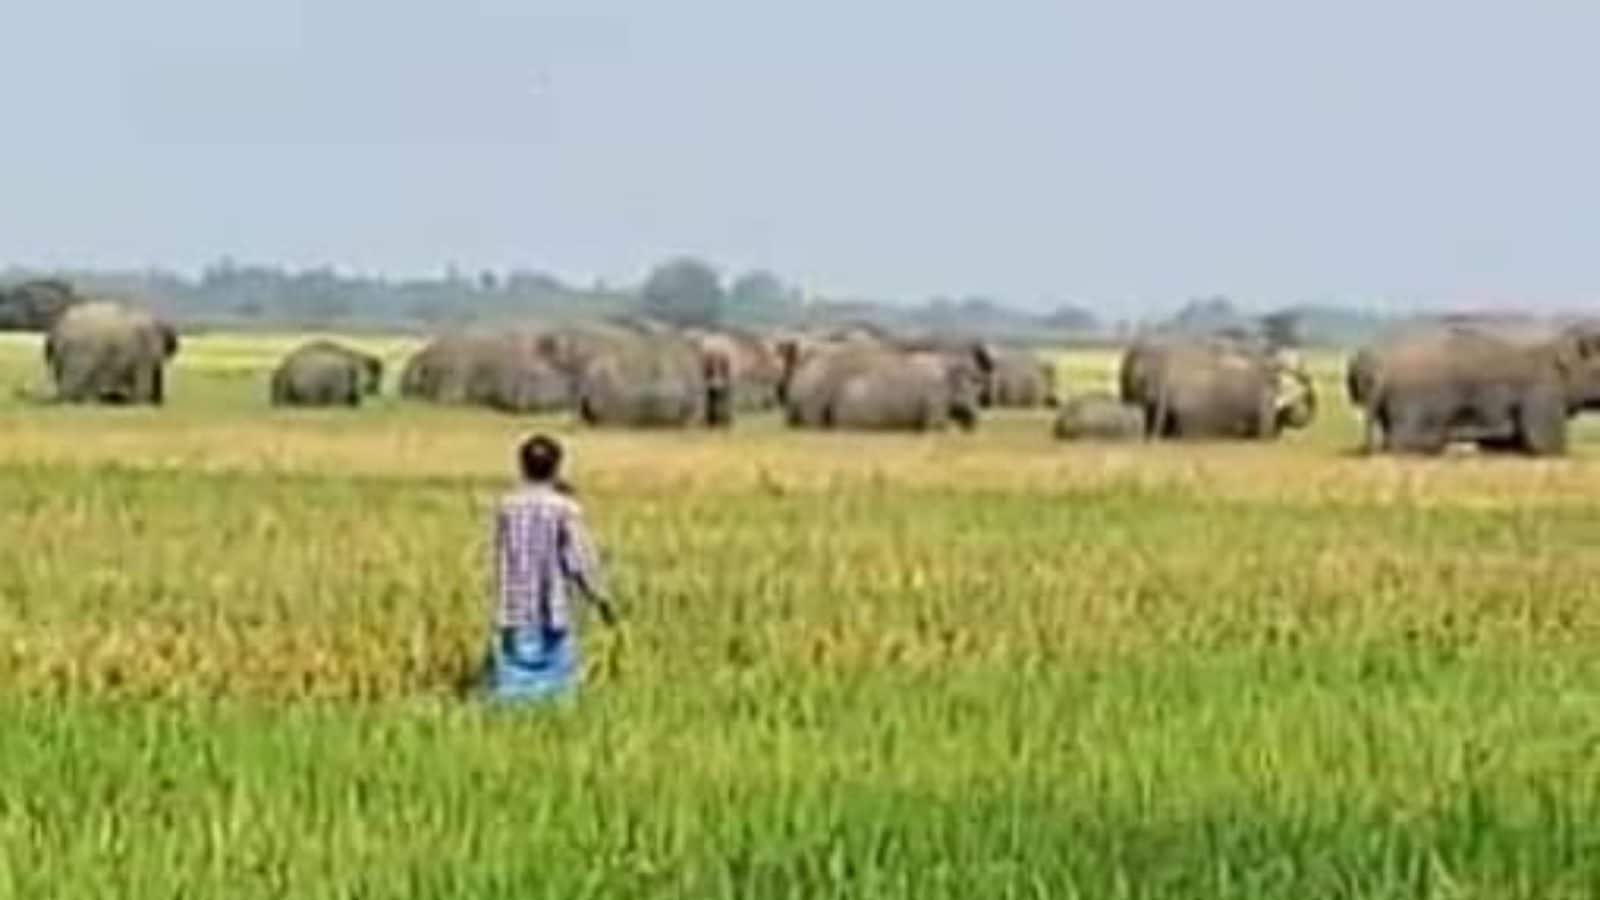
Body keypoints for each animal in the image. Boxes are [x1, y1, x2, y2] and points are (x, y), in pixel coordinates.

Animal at [43, 301, 179, 405]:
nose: (159, 402)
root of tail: (54, 330)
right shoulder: (146, 348)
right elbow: (143, 373)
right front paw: (139, 403)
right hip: (78, 350)